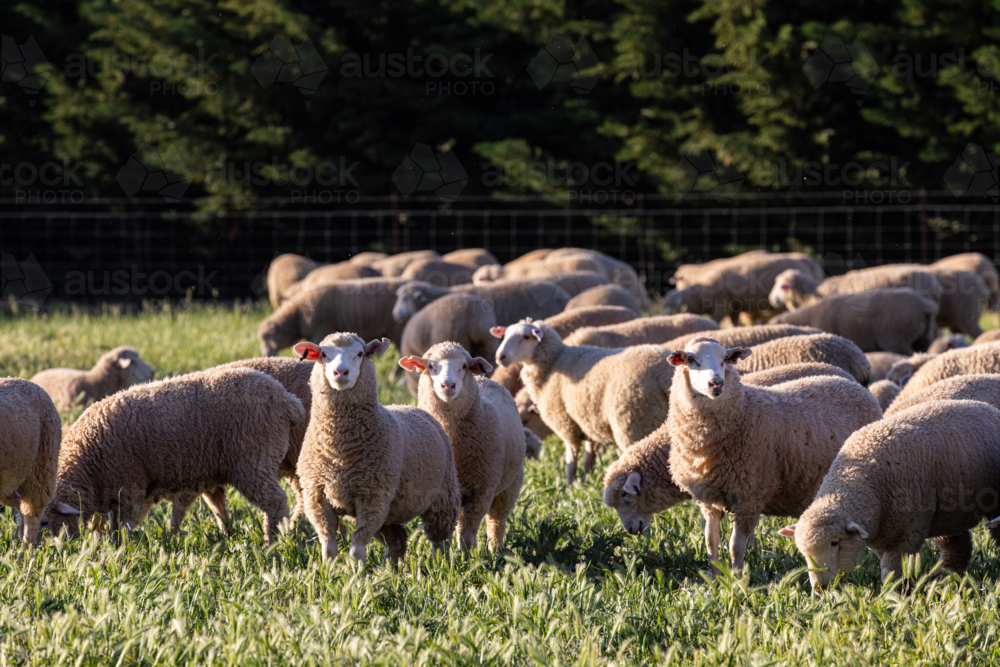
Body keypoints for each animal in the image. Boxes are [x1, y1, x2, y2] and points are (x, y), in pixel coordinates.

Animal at [44, 368, 304, 544]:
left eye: (45, 522)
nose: (45, 553)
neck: (88, 466)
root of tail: (287, 400)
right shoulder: (115, 492)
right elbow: (113, 525)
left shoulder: (130, 488)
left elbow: (125, 525)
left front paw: (122, 550)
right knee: (224, 508)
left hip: (255, 461)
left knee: (276, 502)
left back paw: (273, 541)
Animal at [294, 334, 460, 563]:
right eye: (324, 354)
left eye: (360, 354)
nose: (340, 373)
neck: (338, 450)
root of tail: (411, 406)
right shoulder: (317, 498)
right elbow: (329, 548)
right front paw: (328, 571)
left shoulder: (372, 499)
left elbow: (356, 550)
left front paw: (357, 572)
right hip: (390, 511)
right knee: (398, 540)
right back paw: (392, 568)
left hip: (442, 498)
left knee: (440, 540)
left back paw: (440, 566)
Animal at [399, 342, 524, 552]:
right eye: (430, 365)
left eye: (464, 366)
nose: (448, 385)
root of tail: (484, 379)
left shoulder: (481, 492)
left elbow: (468, 535)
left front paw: (467, 557)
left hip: (509, 486)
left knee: (496, 522)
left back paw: (496, 551)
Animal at [492, 319, 674, 484]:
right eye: (505, 335)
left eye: (525, 336)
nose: (500, 356)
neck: (554, 364)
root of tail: (663, 375)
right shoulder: (588, 424)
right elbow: (588, 459)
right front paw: (587, 481)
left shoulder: (566, 425)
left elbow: (571, 461)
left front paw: (569, 486)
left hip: (633, 425)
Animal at [780, 399, 1000, 588]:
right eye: (803, 551)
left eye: (835, 543)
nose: (820, 587)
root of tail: (988, 407)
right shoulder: (882, 536)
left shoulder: (905, 535)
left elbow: (892, 572)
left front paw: (895, 595)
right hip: (947, 514)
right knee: (957, 545)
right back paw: (944, 578)